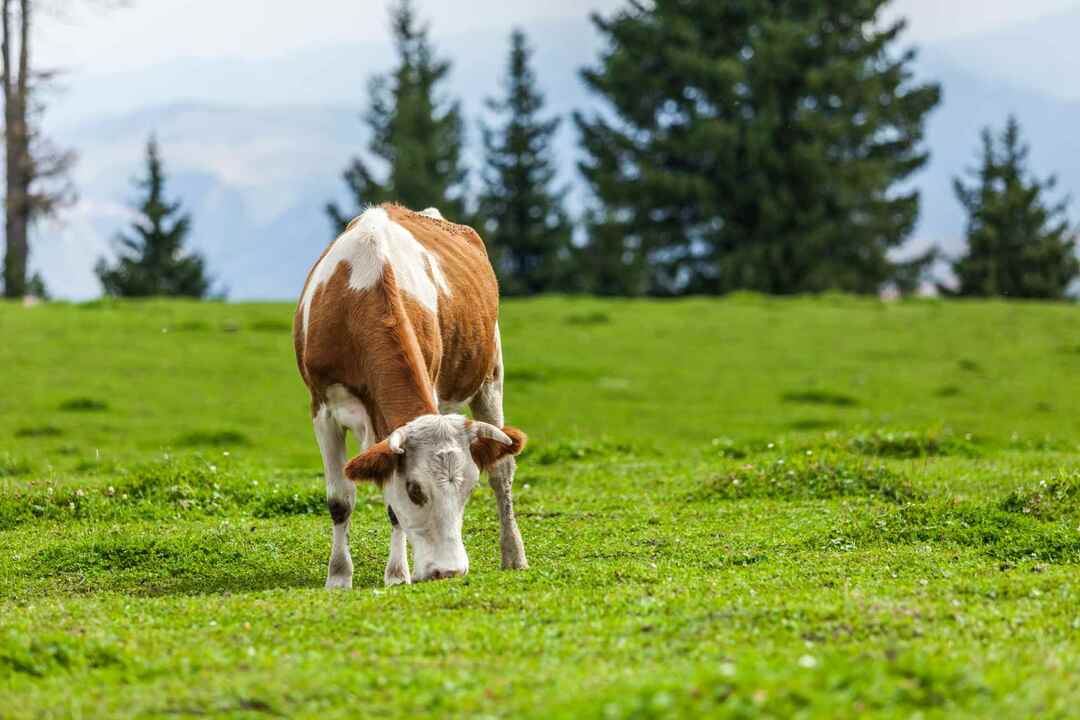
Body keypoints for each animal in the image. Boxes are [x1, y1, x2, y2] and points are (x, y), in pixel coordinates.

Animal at [293, 201, 529, 587]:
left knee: (502, 471)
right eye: (415, 489)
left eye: (468, 490)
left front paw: (396, 575)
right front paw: (339, 577)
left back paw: (514, 554)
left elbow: (392, 511)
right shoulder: (323, 409)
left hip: (490, 374)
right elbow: (340, 499)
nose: (449, 571)